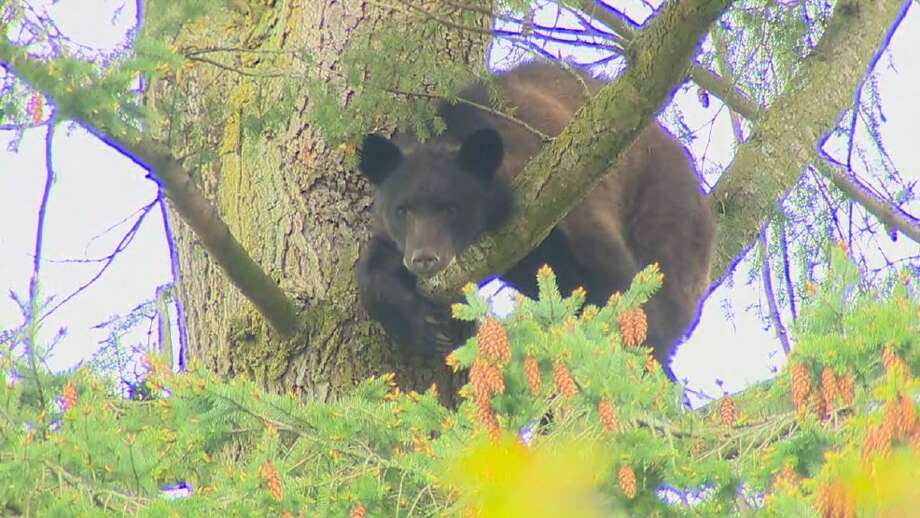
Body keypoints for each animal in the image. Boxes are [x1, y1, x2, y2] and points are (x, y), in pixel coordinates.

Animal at [356, 61, 715, 378]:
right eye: (402, 209)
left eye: (451, 209)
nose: (424, 258)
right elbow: (374, 267)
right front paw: (422, 325)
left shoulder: (563, 194)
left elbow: (617, 277)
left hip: (664, 204)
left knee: (665, 274)